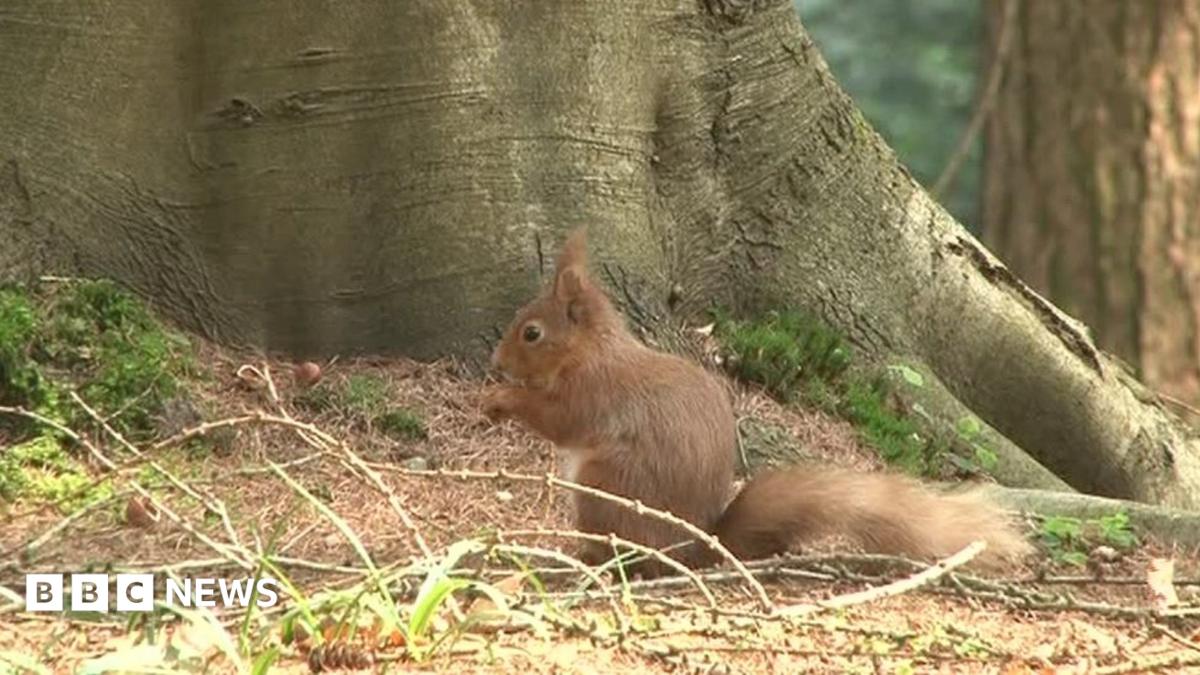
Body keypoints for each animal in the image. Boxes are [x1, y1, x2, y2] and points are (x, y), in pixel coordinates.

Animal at [483, 227, 1031, 573]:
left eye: (532, 333)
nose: (496, 363)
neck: (590, 352)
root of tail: (694, 549)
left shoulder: (592, 392)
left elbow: (558, 419)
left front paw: (499, 399)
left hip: (605, 485)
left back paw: (591, 559)